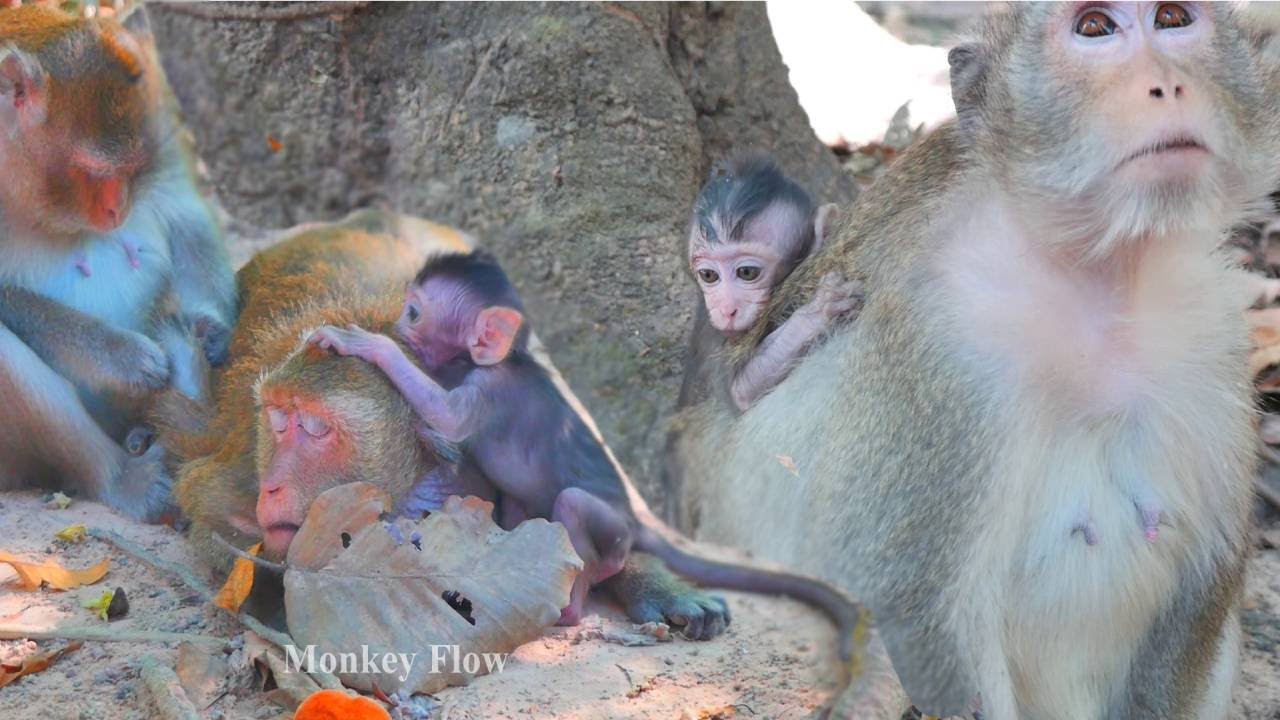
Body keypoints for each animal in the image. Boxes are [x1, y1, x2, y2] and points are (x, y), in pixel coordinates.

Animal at [0, 5, 236, 522]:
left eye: (136, 169)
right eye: (91, 172)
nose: (117, 210)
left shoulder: (158, 110)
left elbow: (185, 212)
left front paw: (211, 328)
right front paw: (122, 355)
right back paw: (123, 478)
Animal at [304, 248, 866, 647]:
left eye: (416, 312)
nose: (399, 326)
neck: (493, 361)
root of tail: (637, 521)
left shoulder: (489, 390)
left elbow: (446, 415)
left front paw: (366, 345)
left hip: (610, 531)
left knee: (579, 515)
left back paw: (573, 605)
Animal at [684, 156, 861, 412]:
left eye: (747, 272)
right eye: (708, 275)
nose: (727, 310)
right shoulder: (712, 332)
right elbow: (741, 392)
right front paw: (816, 315)